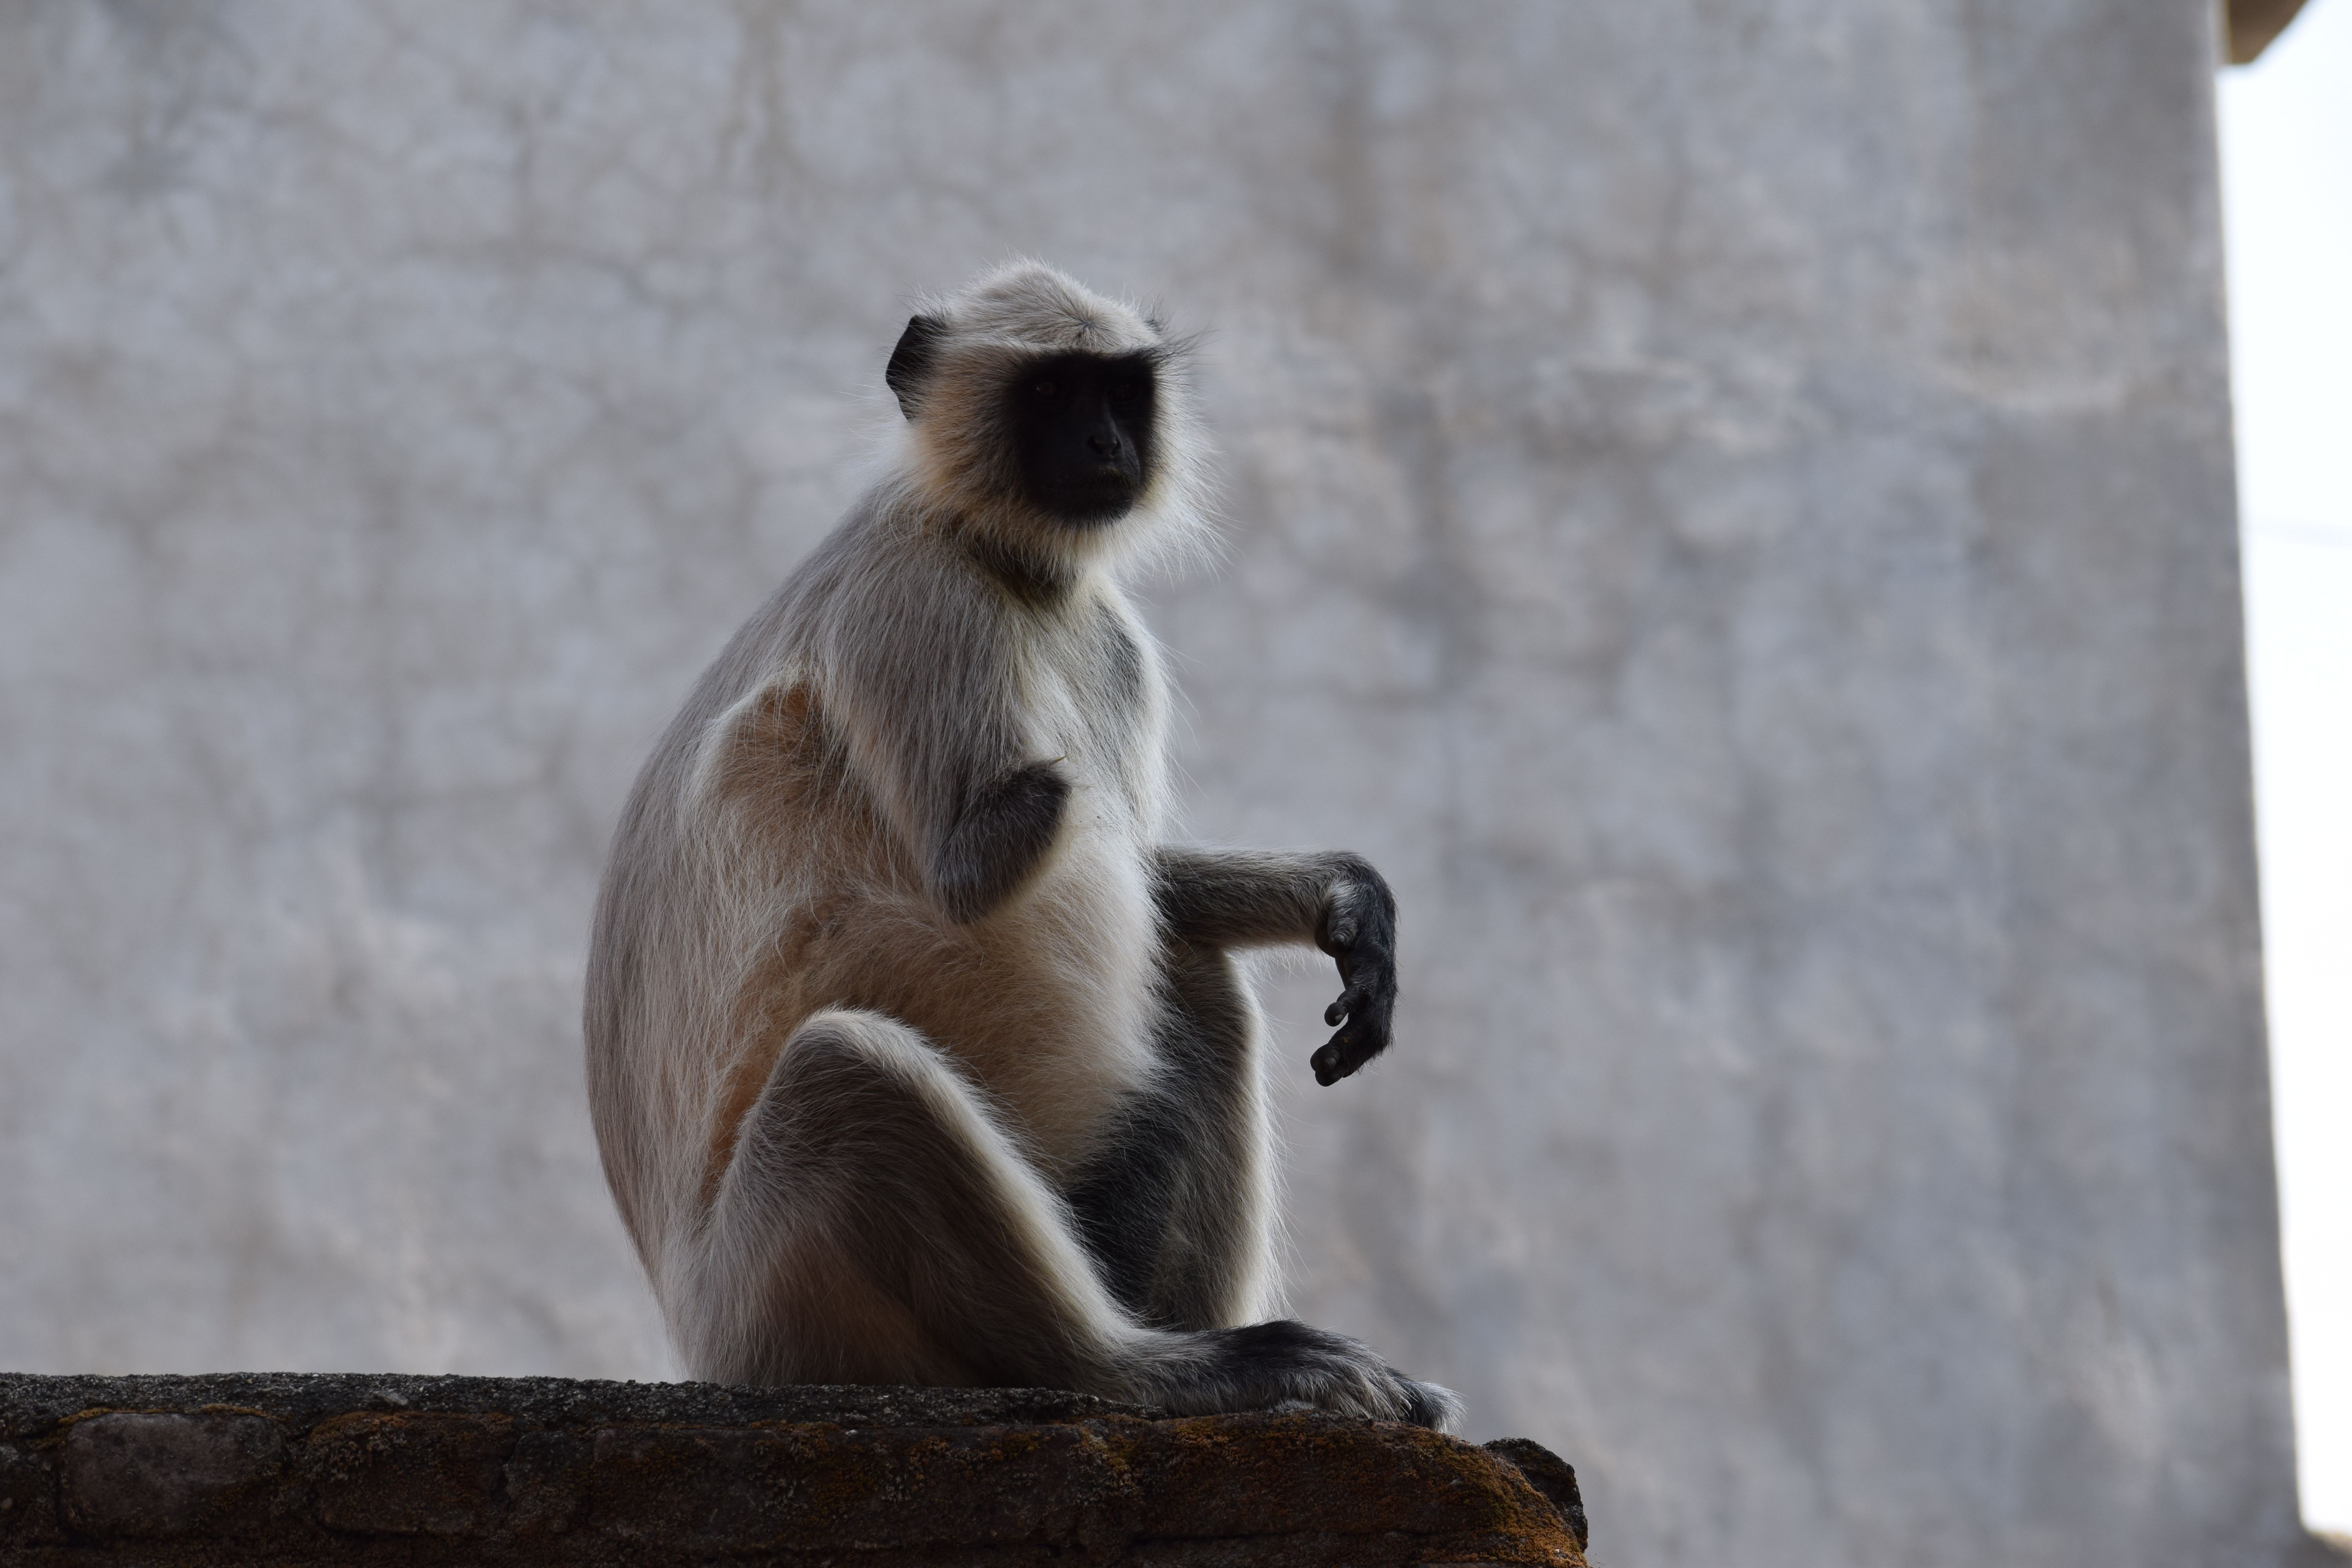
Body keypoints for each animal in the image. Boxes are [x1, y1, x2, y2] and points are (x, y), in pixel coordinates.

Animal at [584, 262, 1458, 1429]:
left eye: (1119, 391)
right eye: (1049, 394)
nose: (1104, 445)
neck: (1013, 569)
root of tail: (696, 1340)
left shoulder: (1111, 639)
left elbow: (1138, 869)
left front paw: (1343, 898)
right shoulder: (916, 599)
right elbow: (974, 872)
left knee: (1187, 969)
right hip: (769, 1304)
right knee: (846, 1069)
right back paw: (1160, 1370)